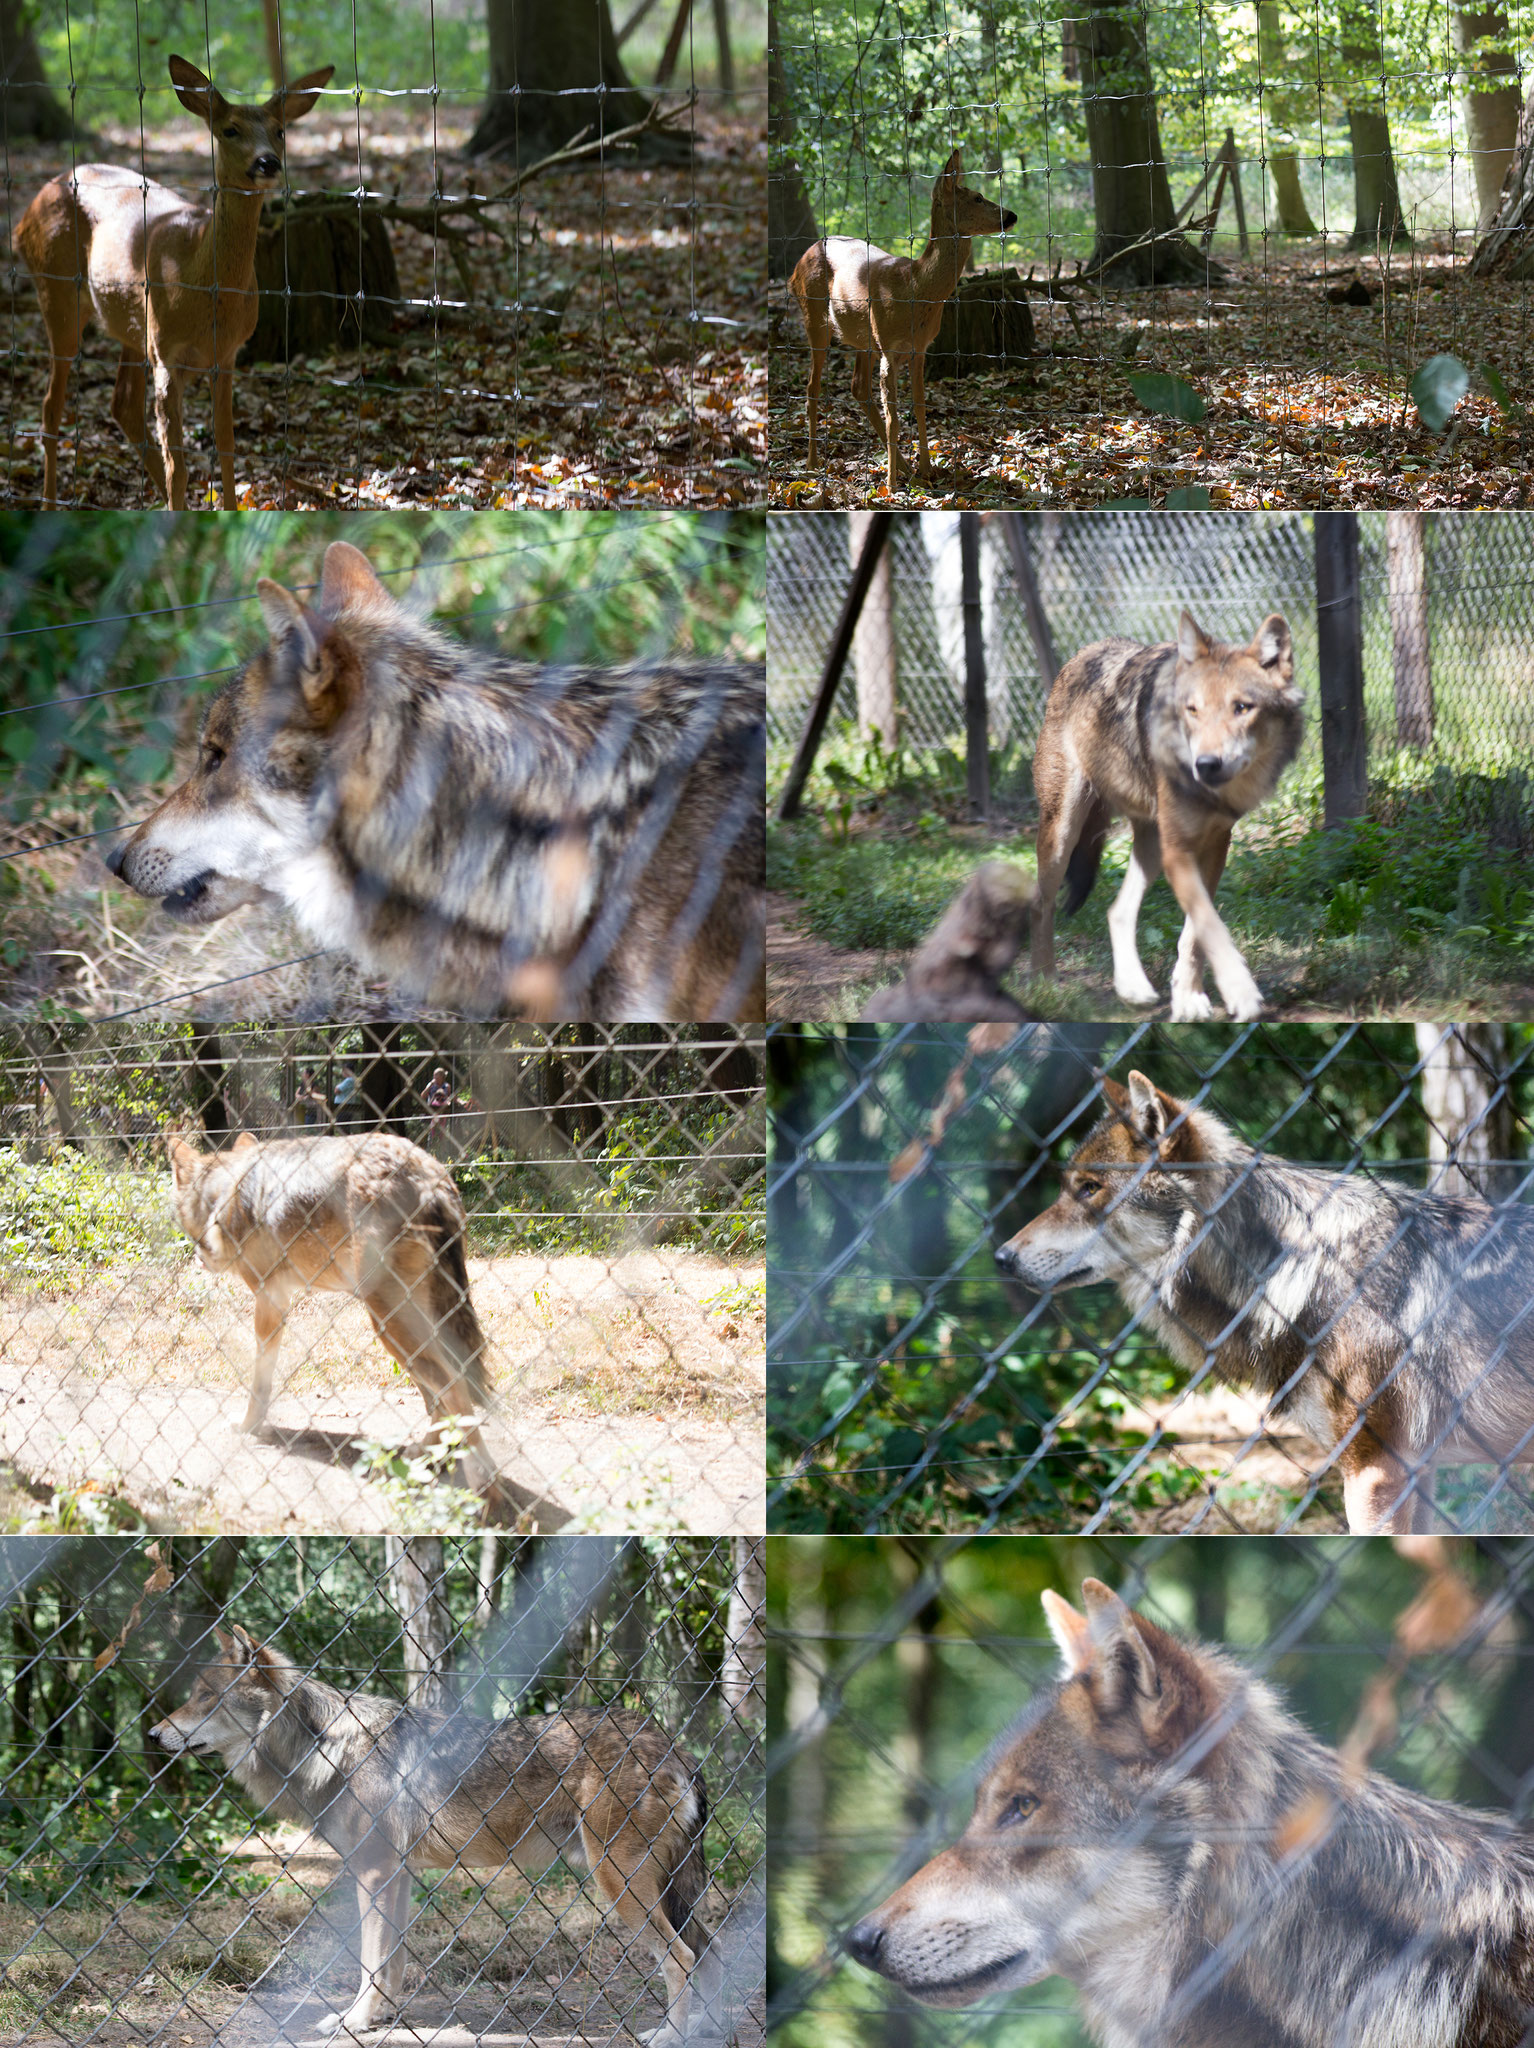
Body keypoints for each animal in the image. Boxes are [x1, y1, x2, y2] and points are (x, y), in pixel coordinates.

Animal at [150, 1623, 720, 2041]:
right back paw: (707, 2027)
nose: (154, 1734)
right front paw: (377, 2018)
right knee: (707, 1949)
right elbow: (391, 1963)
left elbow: (371, 1963)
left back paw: (672, 2035)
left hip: (620, 1884)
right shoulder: (395, 1876)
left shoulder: (374, 1874)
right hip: (660, 1889)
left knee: (683, 1958)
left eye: (205, 1696)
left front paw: (352, 2023)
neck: (324, 1746)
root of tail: (676, 1747)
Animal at [167, 1129, 509, 1513]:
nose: (199, 1256)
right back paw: (424, 1455)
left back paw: (484, 1486)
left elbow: (259, 1380)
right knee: (442, 1391)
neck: (225, 1192)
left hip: (390, 1324)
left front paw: (248, 1426)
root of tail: (427, 1177)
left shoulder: (269, 1299)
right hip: (412, 1326)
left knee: (453, 1387)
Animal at [995, 1070, 1534, 1533]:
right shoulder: (1414, 1472)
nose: (1001, 1257)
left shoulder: (1378, 1470)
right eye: (1070, 1188)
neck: (1294, 1271)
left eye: (1090, 1189)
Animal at [1030, 611, 1303, 1023]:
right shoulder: (1178, 851)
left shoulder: (1214, 846)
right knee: (1041, 906)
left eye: (1242, 708)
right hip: (1063, 834)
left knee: (1117, 910)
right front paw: (1239, 991)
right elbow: (1209, 927)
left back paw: (1133, 986)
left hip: (1150, 845)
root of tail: (1083, 653)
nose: (1205, 764)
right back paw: (1044, 982)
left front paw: (1188, 997)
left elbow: (1195, 934)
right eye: (1193, 710)